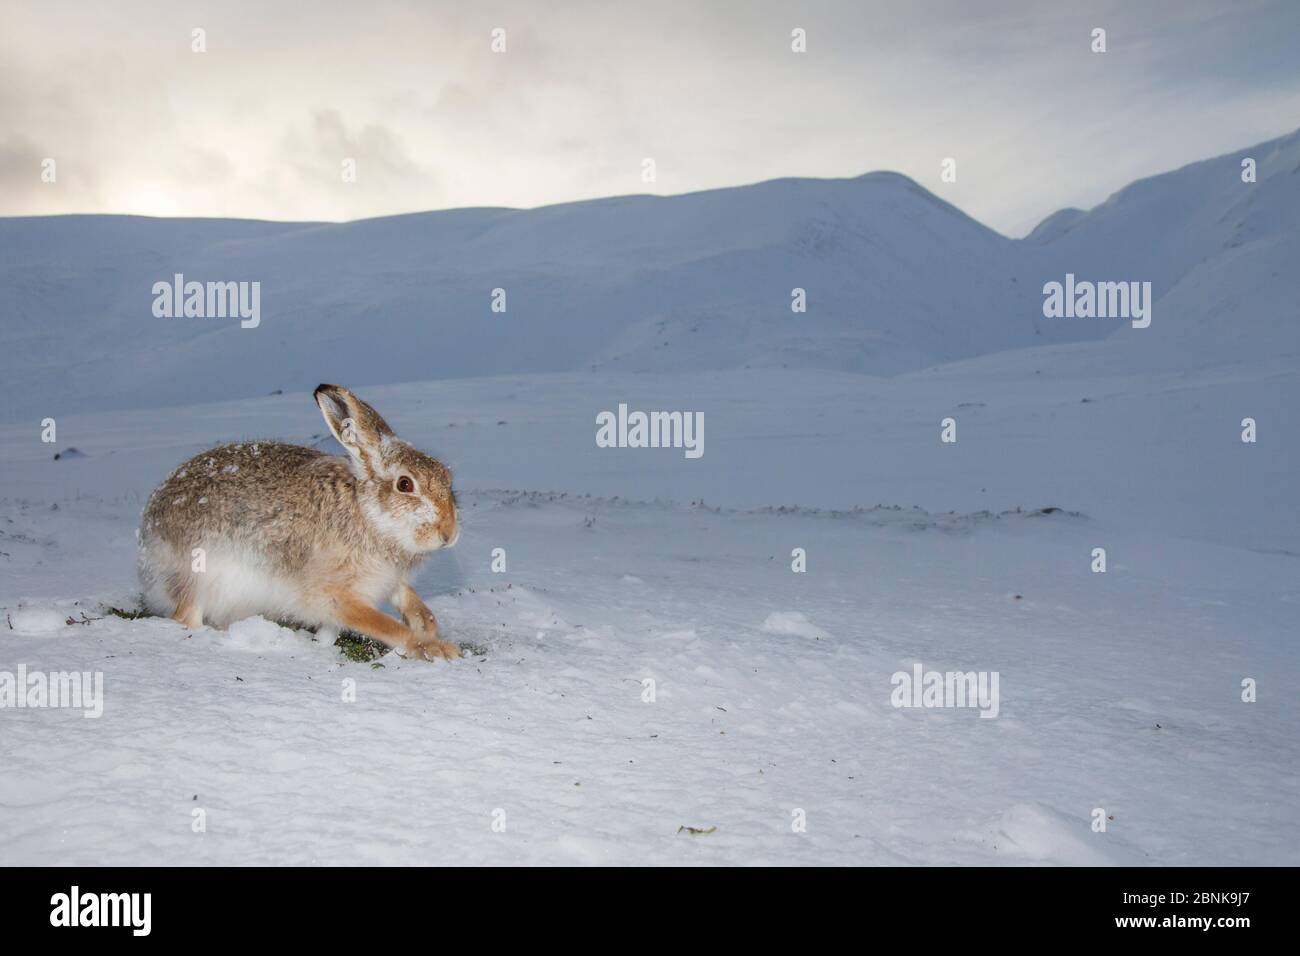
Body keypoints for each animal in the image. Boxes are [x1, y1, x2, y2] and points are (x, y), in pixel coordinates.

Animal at [138, 384, 461, 661]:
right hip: (200, 577)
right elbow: (382, 624)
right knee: (185, 617)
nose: (449, 534)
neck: (368, 515)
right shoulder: (335, 594)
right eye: (405, 484)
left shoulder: (388, 579)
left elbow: (406, 596)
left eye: (447, 477)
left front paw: (426, 623)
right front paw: (433, 648)